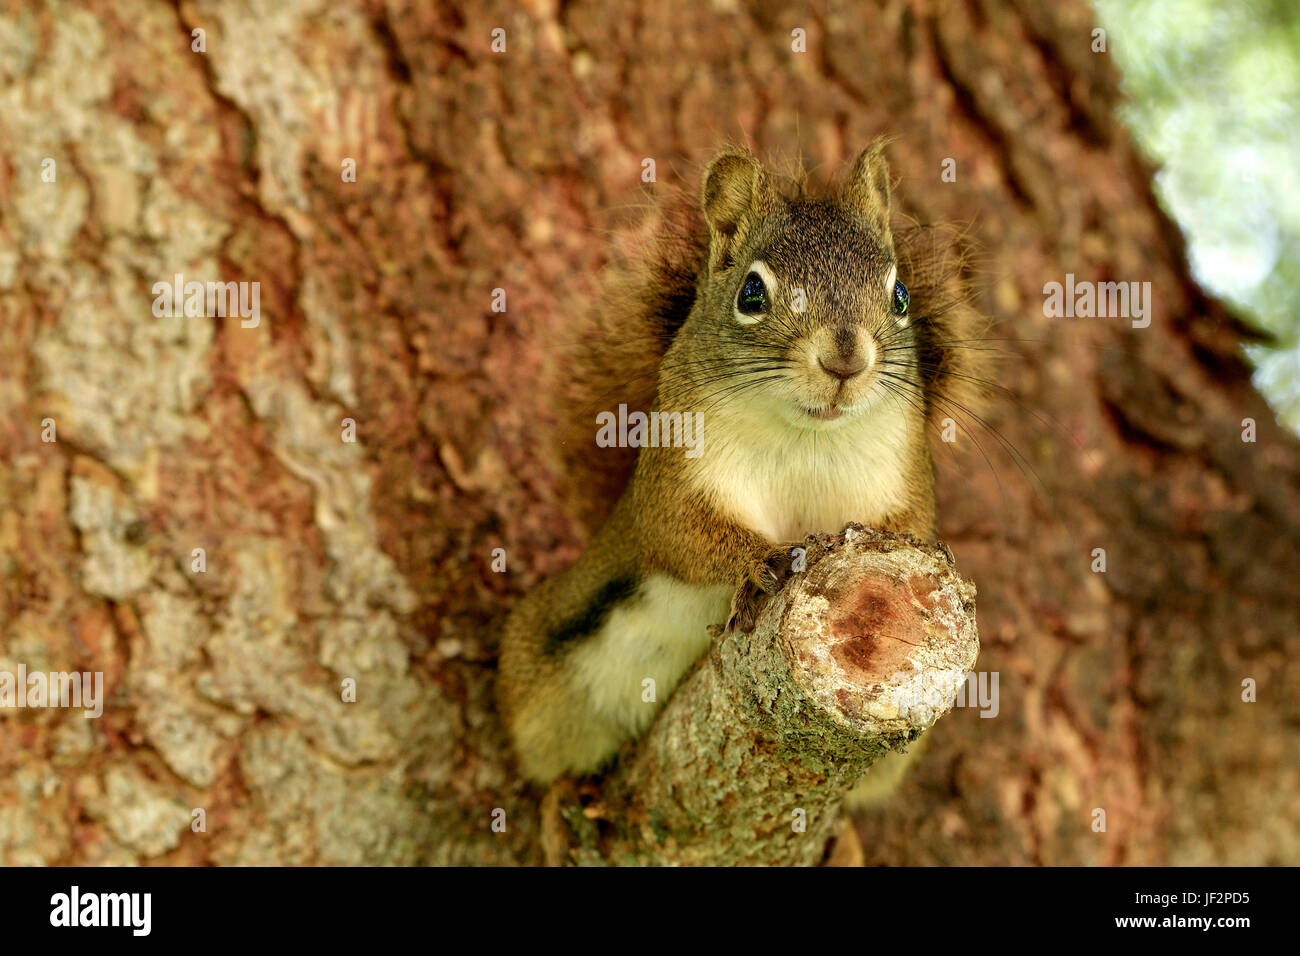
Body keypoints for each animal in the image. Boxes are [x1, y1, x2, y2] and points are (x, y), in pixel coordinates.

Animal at [497, 139, 989, 793]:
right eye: (751, 294)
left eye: (901, 296)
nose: (846, 360)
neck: (806, 437)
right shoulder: (675, 476)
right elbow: (682, 533)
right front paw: (763, 558)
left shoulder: (902, 474)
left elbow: (910, 528)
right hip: (542, 676)